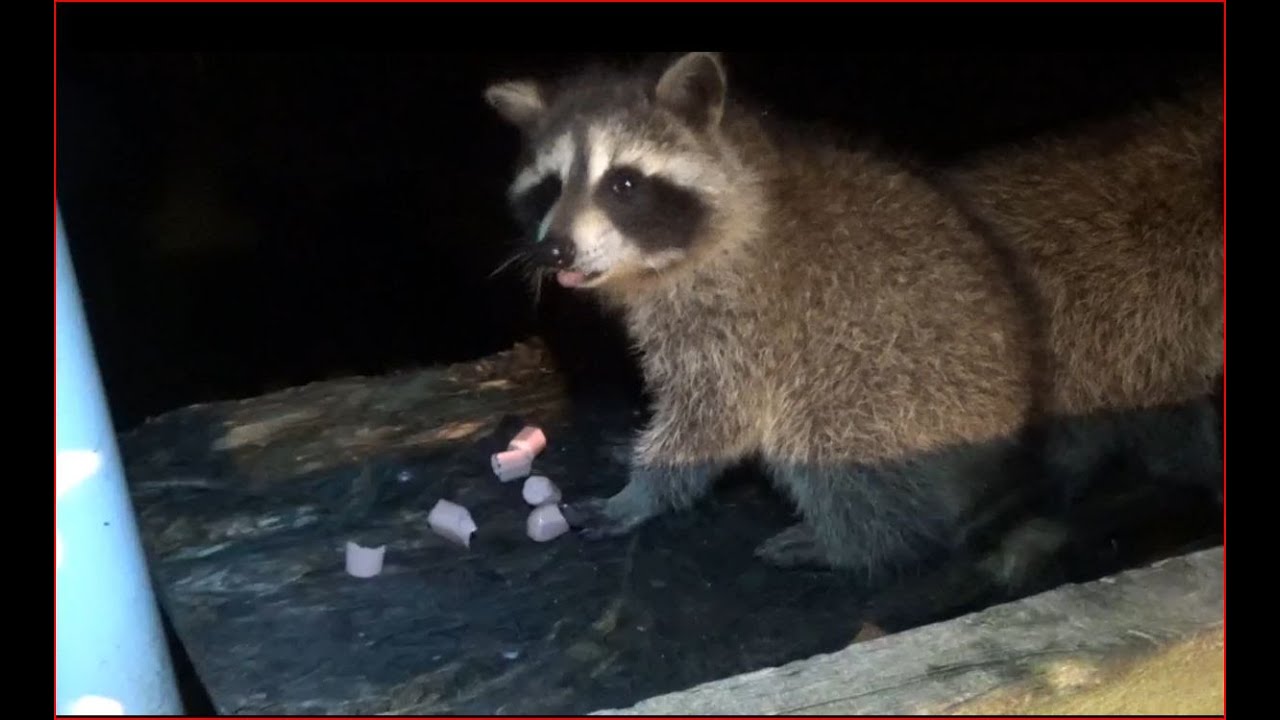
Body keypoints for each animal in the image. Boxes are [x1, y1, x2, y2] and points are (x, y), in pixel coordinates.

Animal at [484, 52, 1047, 582]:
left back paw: (856, 545)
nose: (554, 249)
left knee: (830, 436)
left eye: (623, 184)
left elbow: (713, 416)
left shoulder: (743, 314)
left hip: (898, 390)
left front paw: (643, 491)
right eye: (550, 186)